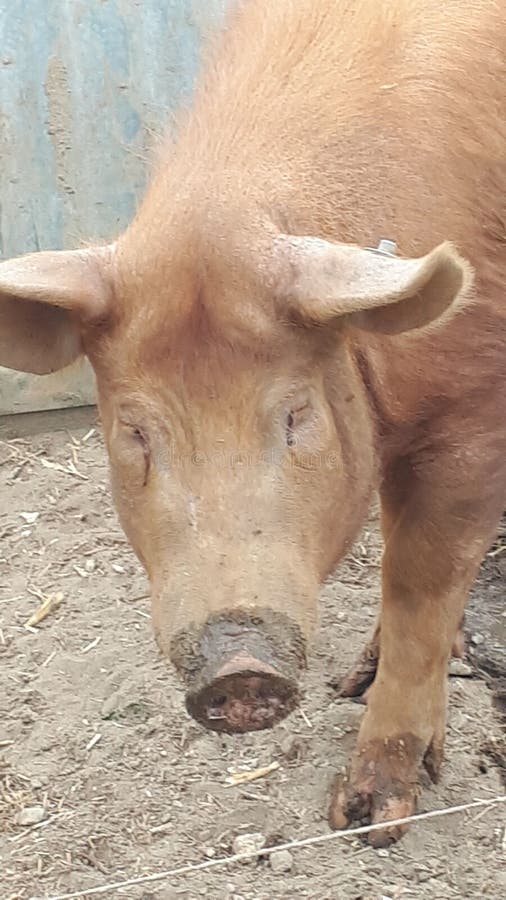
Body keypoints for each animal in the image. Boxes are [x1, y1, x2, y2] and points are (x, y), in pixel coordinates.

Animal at [1, 0, 505, 846]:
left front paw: (368, 822)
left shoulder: (472, 410)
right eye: (135, 431)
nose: (239, 671)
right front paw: (352, 687)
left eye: (296, 413)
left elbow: (418, 582)